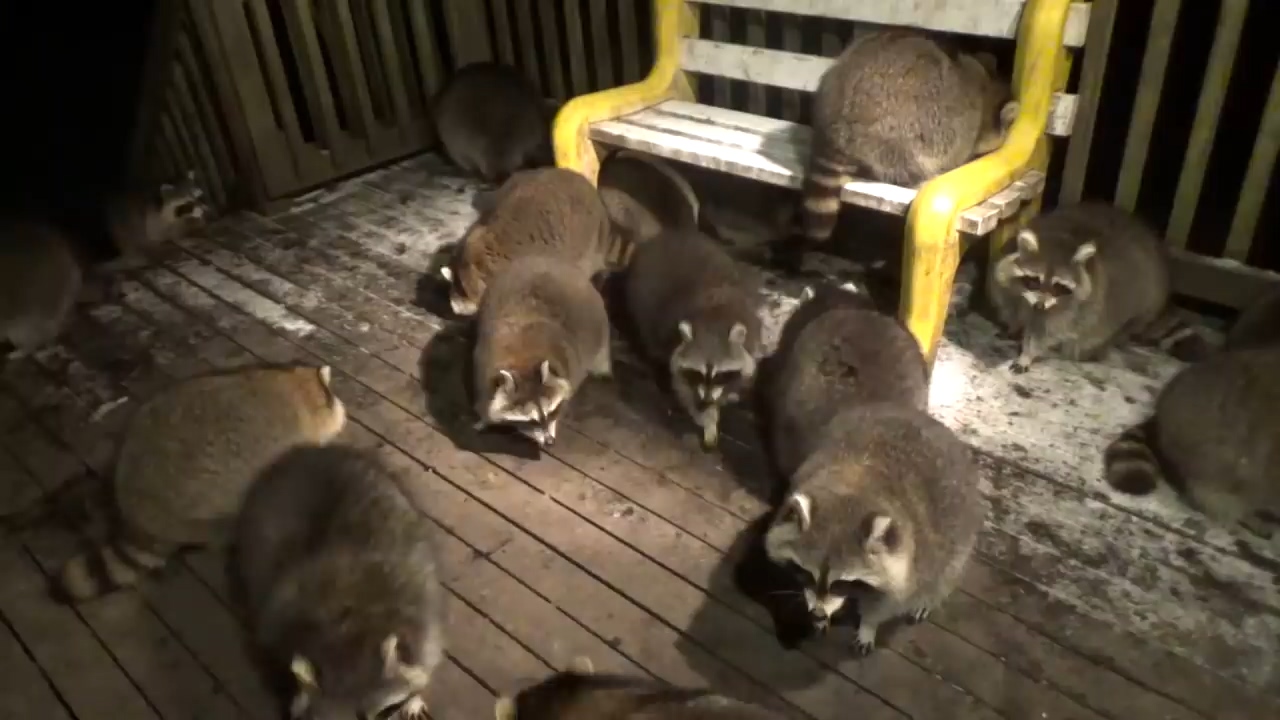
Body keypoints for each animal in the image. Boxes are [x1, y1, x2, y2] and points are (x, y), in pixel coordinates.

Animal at [236, 445, 446, 720]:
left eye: (382, 712)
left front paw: (415, 696)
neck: (350, 629)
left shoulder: (423, 611)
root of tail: (314, 451)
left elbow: (427, 656)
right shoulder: (278, 624)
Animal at [473, 255, 612, 448]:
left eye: (551, 412)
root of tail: (551, 260)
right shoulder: (483, 360)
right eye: (531, 421)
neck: (524, 360)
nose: (550, 442)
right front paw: (485, 417)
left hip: (597, 320)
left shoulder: (571, 370)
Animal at [625, 228, 762, 449]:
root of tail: (671, 234)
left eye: (720, 375)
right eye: (697, 373)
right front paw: (704, 415)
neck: (714, 323)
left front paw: (723, 397)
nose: (705, 402)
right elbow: (680, 382)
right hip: (640, 298)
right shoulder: (672, 341)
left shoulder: (752, 329)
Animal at [763, 285, 982, 654]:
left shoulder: (911, 558)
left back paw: (931, 597)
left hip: (961, 529)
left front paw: (869, 624)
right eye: (807, 573)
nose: (817, 612)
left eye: (842, 583)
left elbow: (890, 601)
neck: (854, 486)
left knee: (947, 569)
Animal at [988, 201, 1209, 373]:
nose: (1040, 306)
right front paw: (1014, 325)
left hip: (1135, 309)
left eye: (1058, 286)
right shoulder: (1012, 284)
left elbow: (1046, 330)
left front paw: (1028, 352)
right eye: (1034, 280)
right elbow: (1008, 300)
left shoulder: (1072, 307)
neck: (1061, 236)